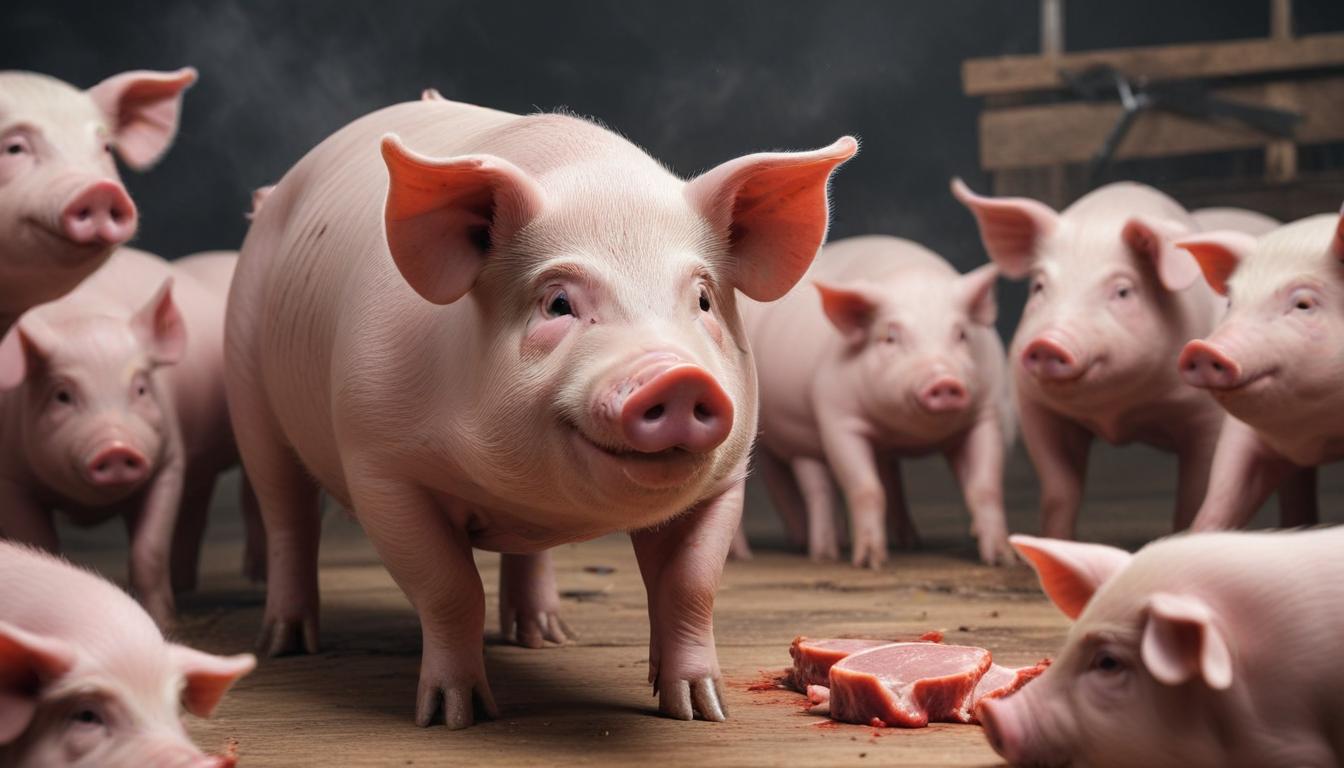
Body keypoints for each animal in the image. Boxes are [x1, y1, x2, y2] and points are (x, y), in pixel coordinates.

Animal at [0, 249, 257, 627]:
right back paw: (186, 585)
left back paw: (255, 577)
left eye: (140, 389)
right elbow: (40, 544)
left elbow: (148, 552)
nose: (115, 448)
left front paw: (166, 625)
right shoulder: (11, 479)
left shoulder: (169, 461)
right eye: (62, 395)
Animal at [225, 94, 855, 729]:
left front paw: (703, 710)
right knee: (287, 516)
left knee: (529, 554)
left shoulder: (725, 479)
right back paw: (284, 644)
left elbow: (691, 587)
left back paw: (547, 637)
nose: (679, 376)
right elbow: (449, 587)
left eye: (702, 299)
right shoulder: (380, 466)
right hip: (250, 391)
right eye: (557, 302)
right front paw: (455, 717)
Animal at [741, 235, 1013, 568]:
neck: (910, 435)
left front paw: (1001, 558)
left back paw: (908, 544)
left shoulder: (987, 414)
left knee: (888, 479)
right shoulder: (839, 419)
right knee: (802, 485)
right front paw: (870, 562)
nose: (943, 380)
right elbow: (866, 488)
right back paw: (817, 552)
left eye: (961, 334)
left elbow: (985, 488)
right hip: (788, 431)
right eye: (889, 338)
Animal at [951, 179, 1280, 538]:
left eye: (1122, 291)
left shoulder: (1206, 418)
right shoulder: (1034, 405)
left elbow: (1193, 495)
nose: (1047, 343)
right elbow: (1059, 491)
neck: (1116, 415)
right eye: (1038, 286)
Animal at [1176, 211, 1344, 530]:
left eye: (1304, 304)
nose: (1201, 349)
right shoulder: (1241, 433)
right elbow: (1221, 498)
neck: (1318, 435)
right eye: (1231, 302)